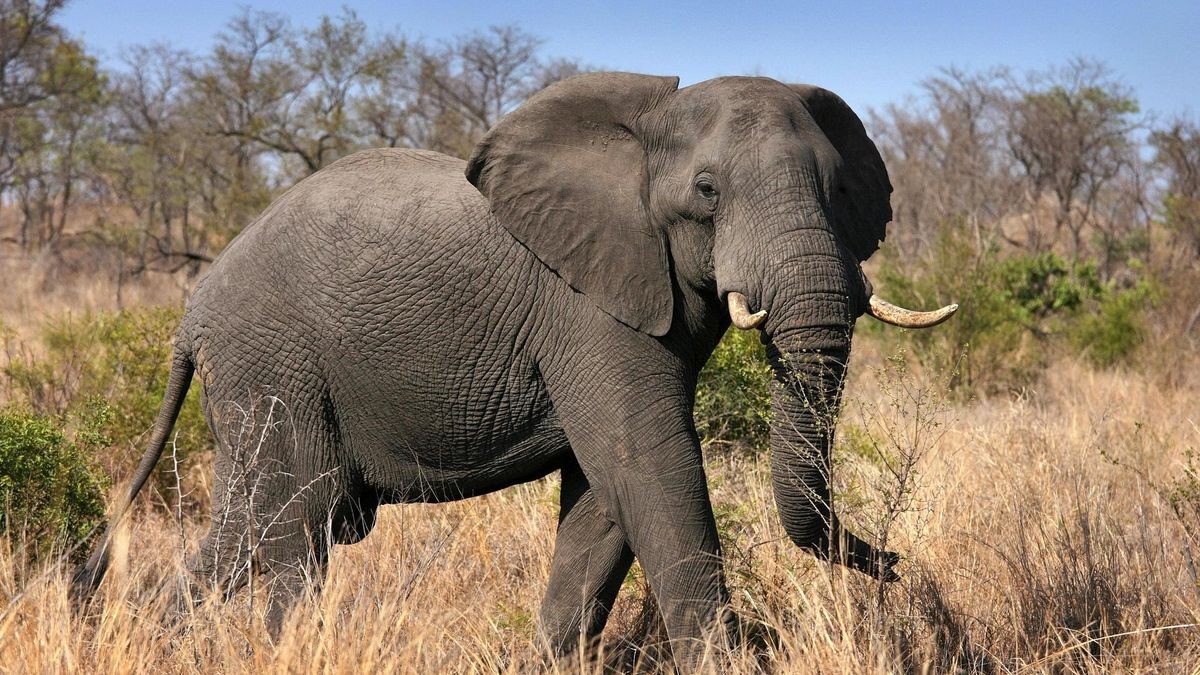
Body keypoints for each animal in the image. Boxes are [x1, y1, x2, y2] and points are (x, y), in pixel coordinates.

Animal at [72, 72, 956, 666]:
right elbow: (650, 463)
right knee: (298, 519)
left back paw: (149, 639)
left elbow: (604, 497)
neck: (645, 124)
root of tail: (190, 314)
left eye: (839, 188)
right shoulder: (588, 303)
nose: (892, 562)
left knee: (249, 527)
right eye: (707, 190)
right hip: (274, 363)